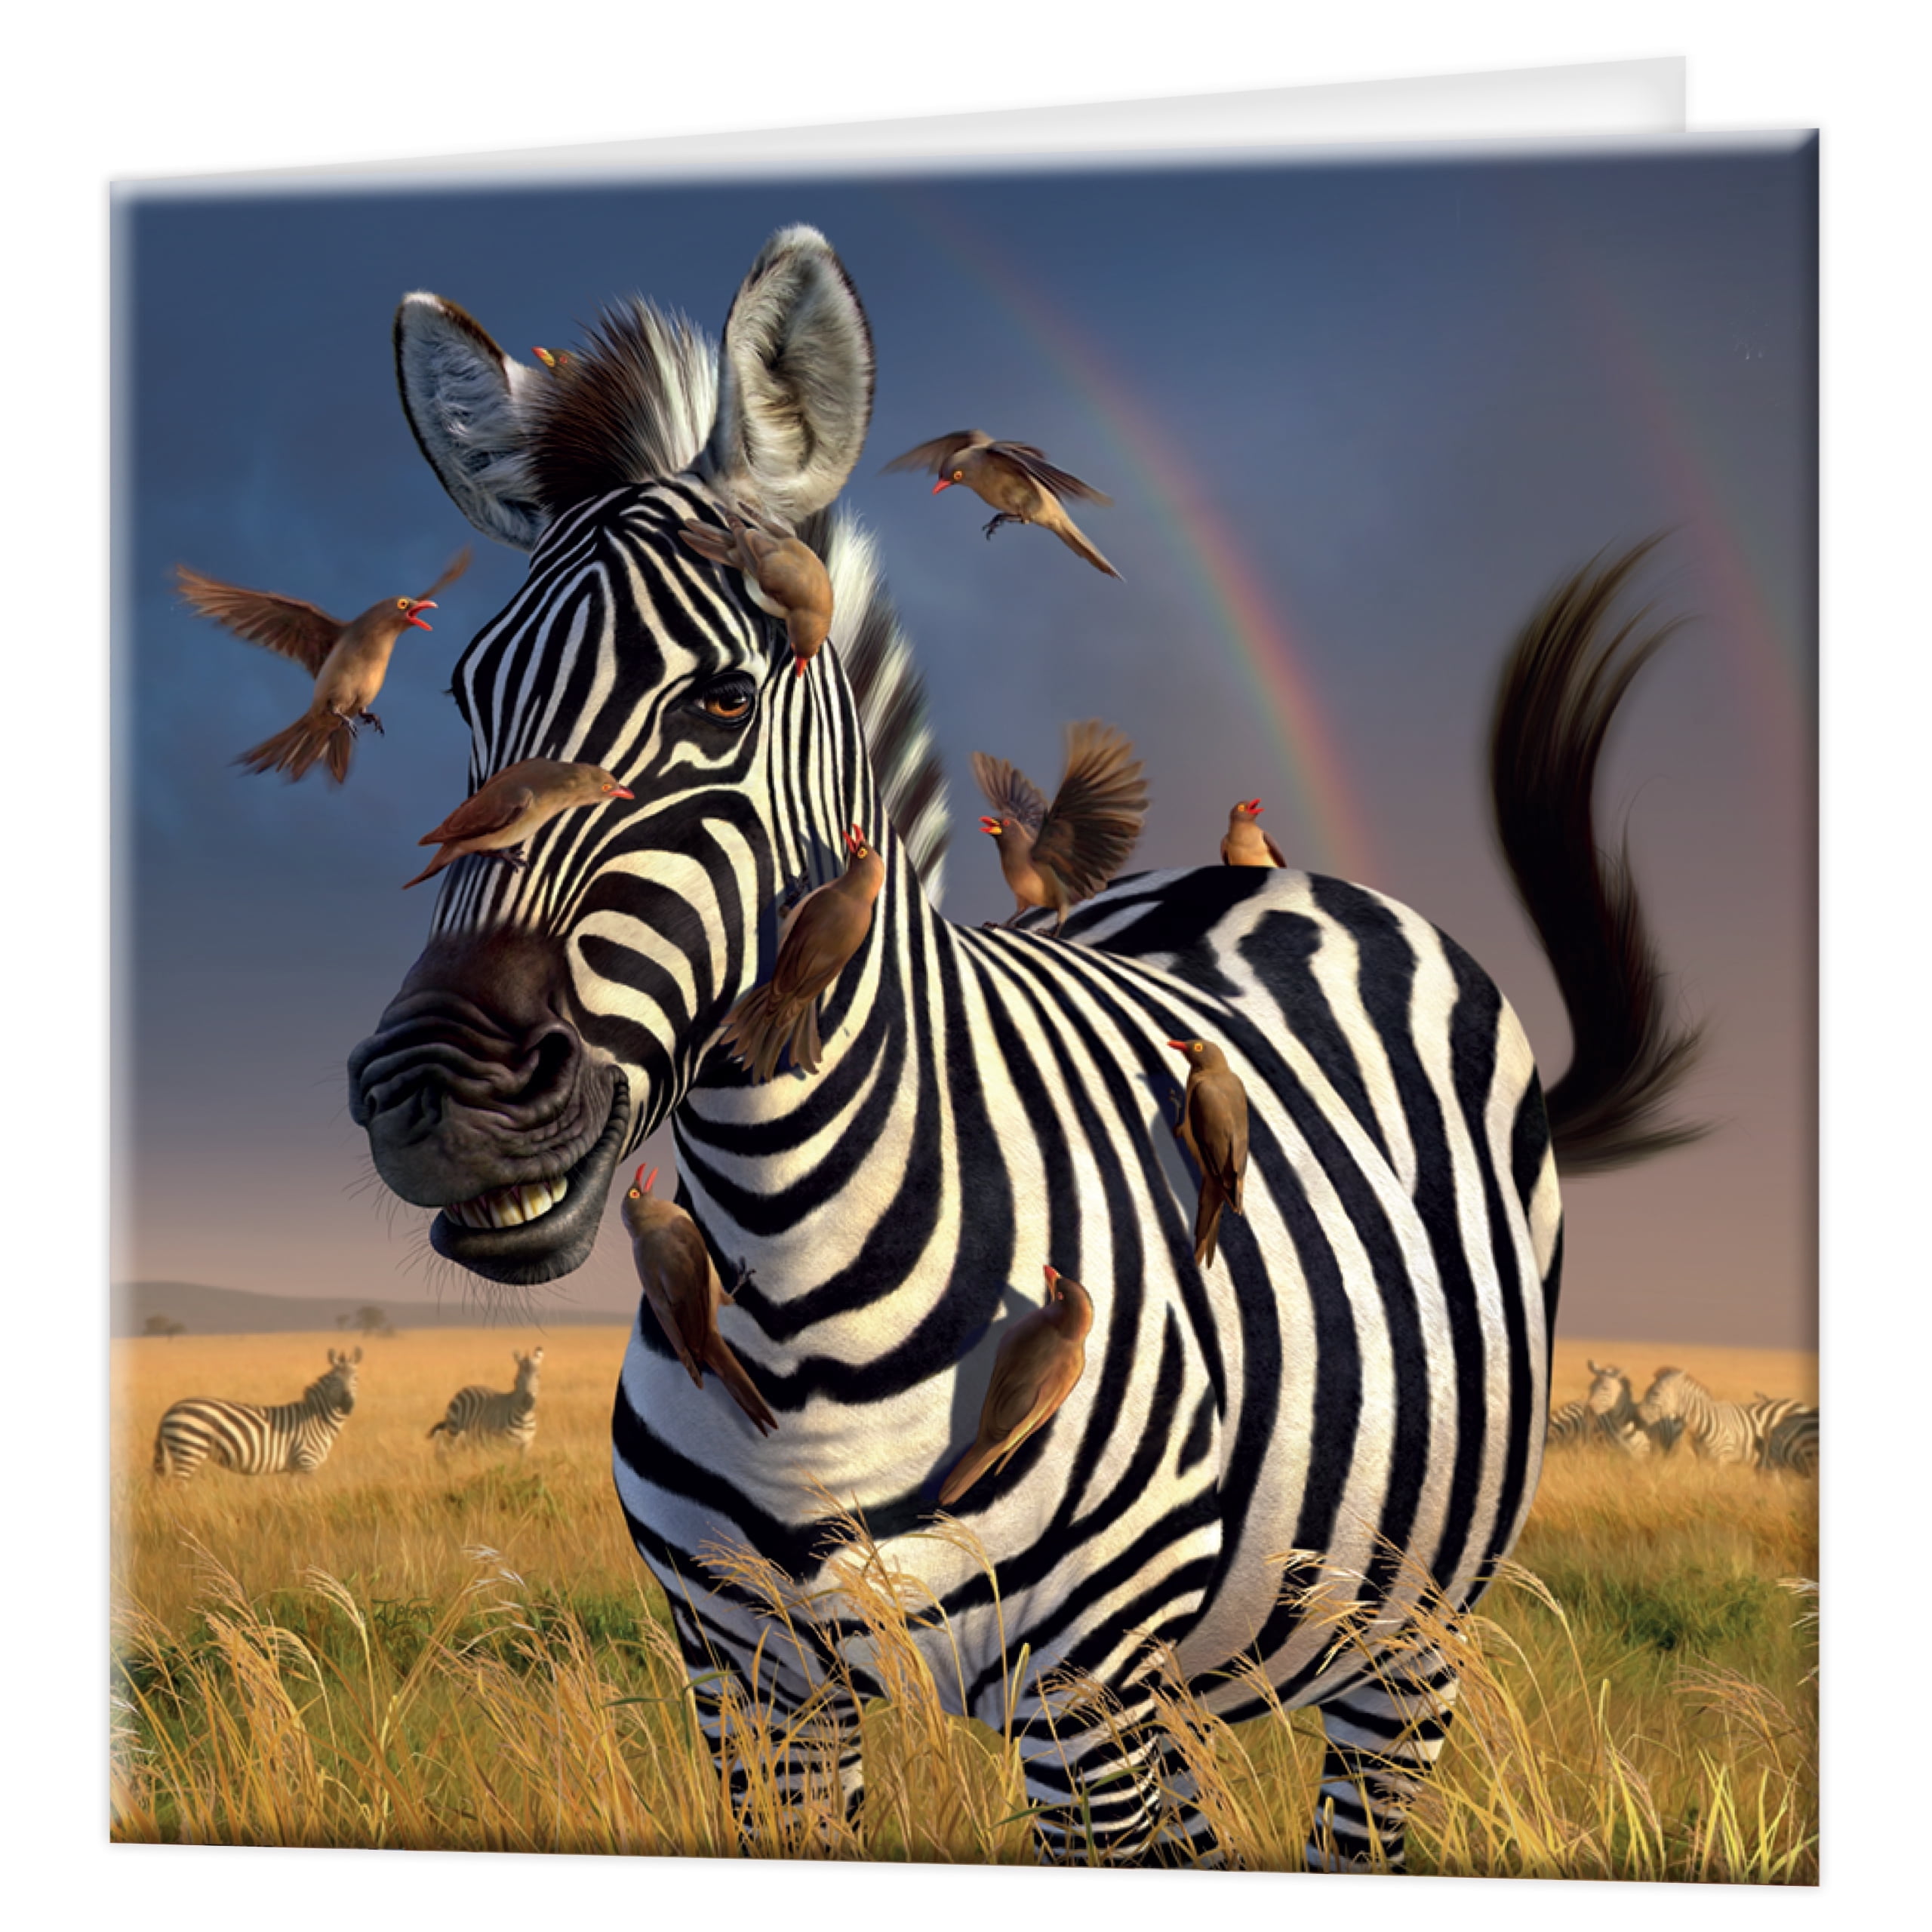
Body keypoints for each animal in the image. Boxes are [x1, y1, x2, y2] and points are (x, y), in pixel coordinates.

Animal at [152, 1347, 362, 1482]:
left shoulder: (296, 1469)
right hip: (190, 1449)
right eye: (334, 1379)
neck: (317, 1420)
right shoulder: (306, 1463)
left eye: (356, 1378)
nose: (347, 1405)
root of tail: (171, 1409)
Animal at [428, 1346, 544, 1454]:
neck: (525, 1417)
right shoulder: (501, 1443)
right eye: (516, 1379)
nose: (528, 1402)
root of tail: (465, 1389)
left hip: (471, 1438)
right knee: (450, 1450)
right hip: (454, 1430)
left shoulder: (526, 1445)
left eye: (538, 1376)